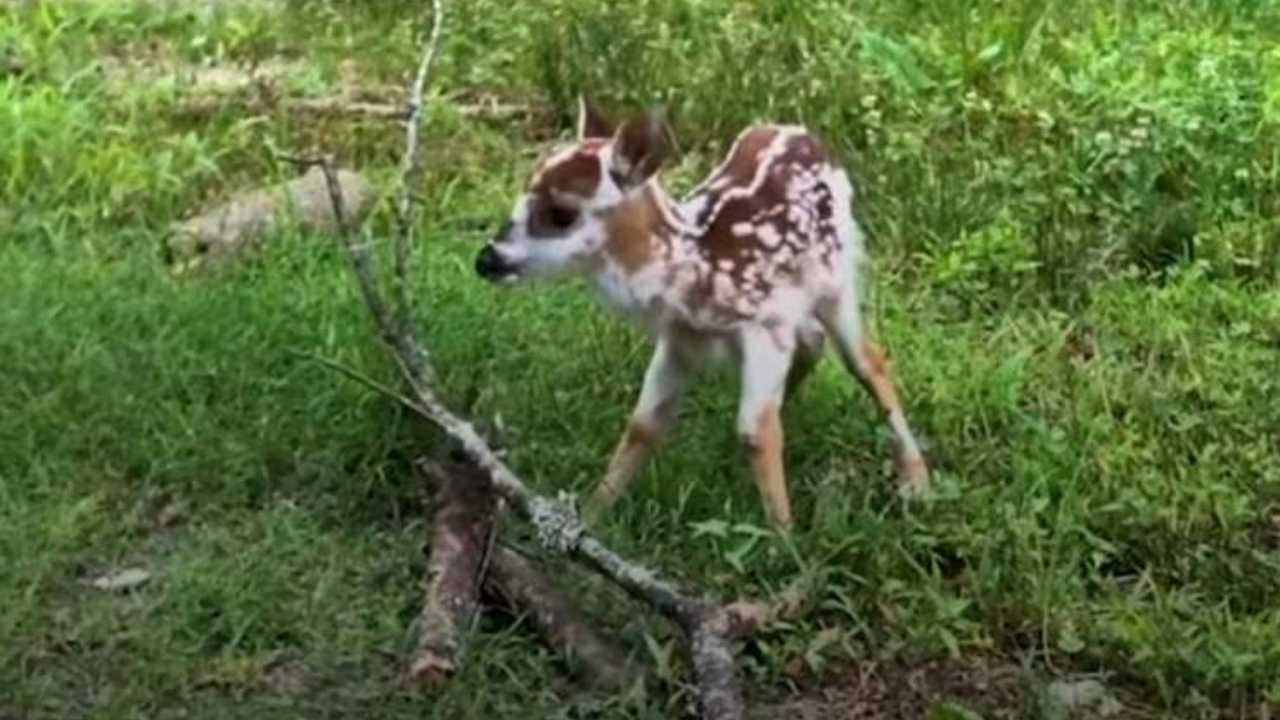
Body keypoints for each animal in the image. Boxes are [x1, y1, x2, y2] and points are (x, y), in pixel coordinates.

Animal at [474, 97, 930, 530]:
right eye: (525, 187)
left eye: (561, 212)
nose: (487, 260)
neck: (693, 273)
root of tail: (804, 134)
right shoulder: (680, 339)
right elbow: (643, 426)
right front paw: (588, 519)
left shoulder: (765, 327)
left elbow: (756, 433)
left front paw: (784, 542)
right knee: (815, 342)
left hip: (837, 277)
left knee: (868, 362)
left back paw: (917, 483)